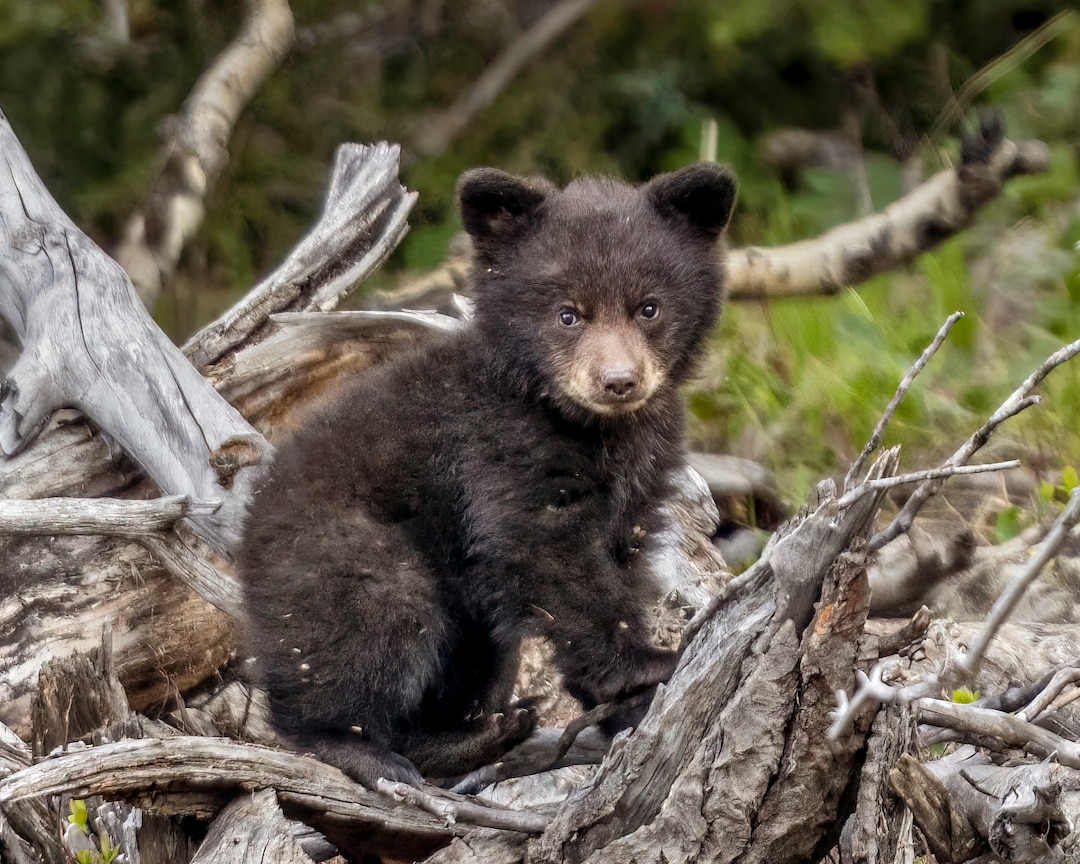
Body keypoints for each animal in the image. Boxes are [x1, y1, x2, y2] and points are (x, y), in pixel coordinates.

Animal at [237, 161, 737, 789]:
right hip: (344, 553)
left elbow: (620, 555)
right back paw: (359, 745)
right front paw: (641, 666)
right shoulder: (499, 452)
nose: (618, 381)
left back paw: (475, 735)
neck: (586, 424)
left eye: (649, 307)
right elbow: (552, 556)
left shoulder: (639, 484)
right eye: (568, 313)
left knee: (471, 655)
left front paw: (619, 702)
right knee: (375, 625)